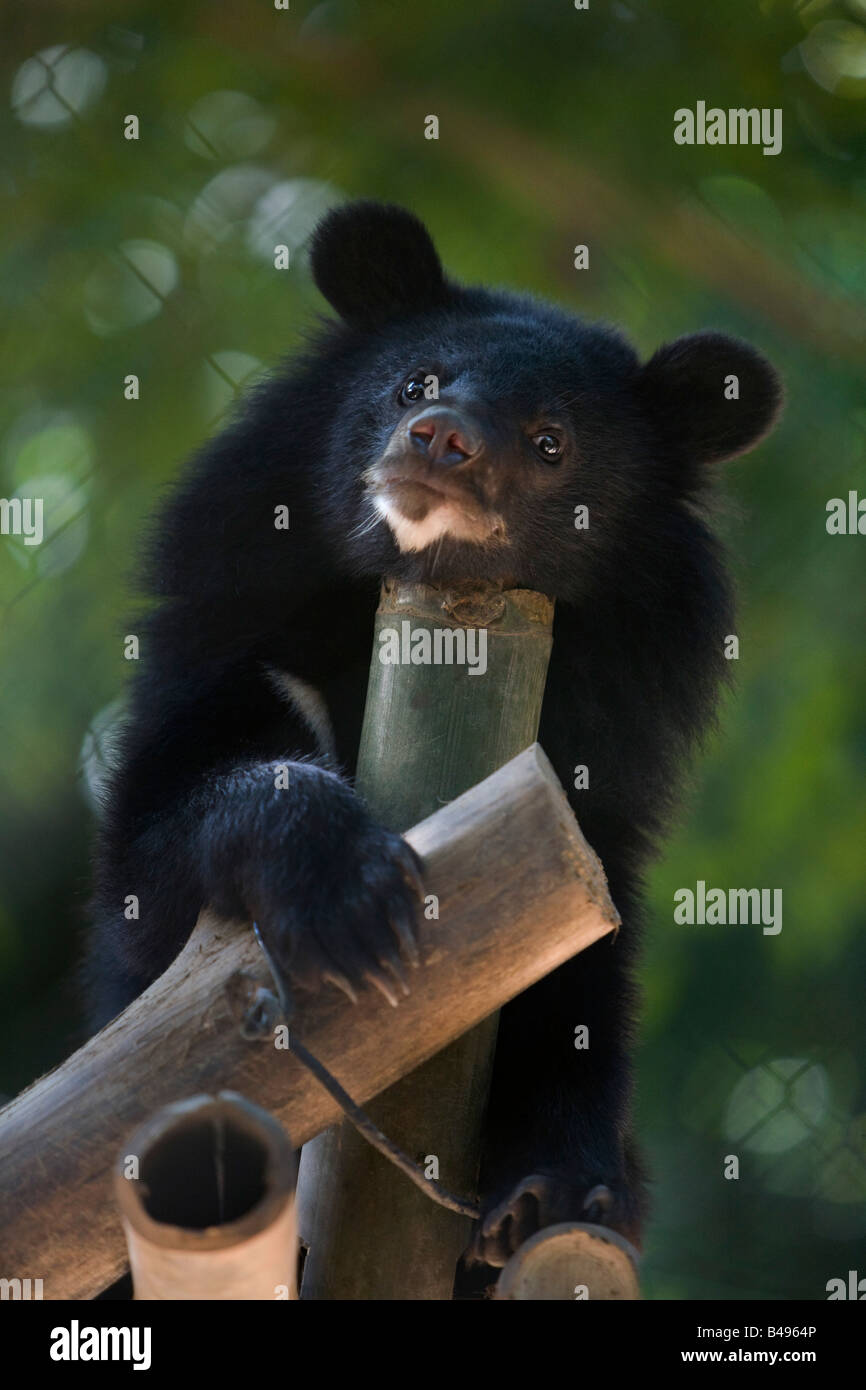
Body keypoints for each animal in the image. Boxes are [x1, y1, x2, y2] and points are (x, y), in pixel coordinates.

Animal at [86, 200, 782, 1279]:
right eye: (417, 382)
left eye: (550, 441)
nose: (438, 437)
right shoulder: (224, 625)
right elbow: (158, 863)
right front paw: (350, 900)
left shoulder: (593, 782)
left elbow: (576, 981)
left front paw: (556, 1193)